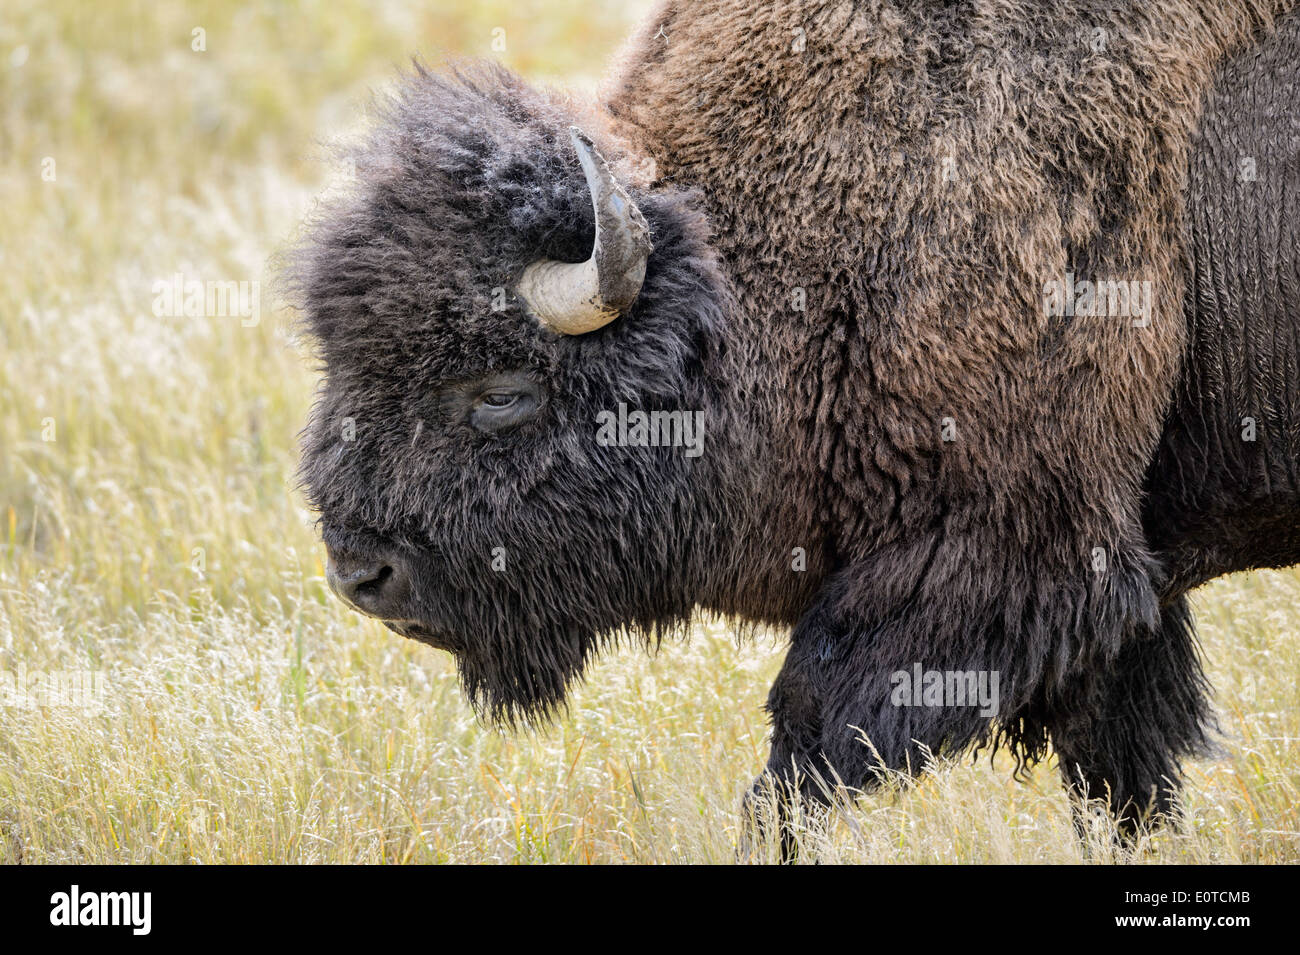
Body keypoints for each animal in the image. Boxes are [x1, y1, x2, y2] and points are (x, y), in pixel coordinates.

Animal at [292, 0, 1300, 857]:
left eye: (503, 391)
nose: (362, 574)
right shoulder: (1116, 578)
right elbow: (1120, 769)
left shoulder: (990, 557)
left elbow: (809, 740)